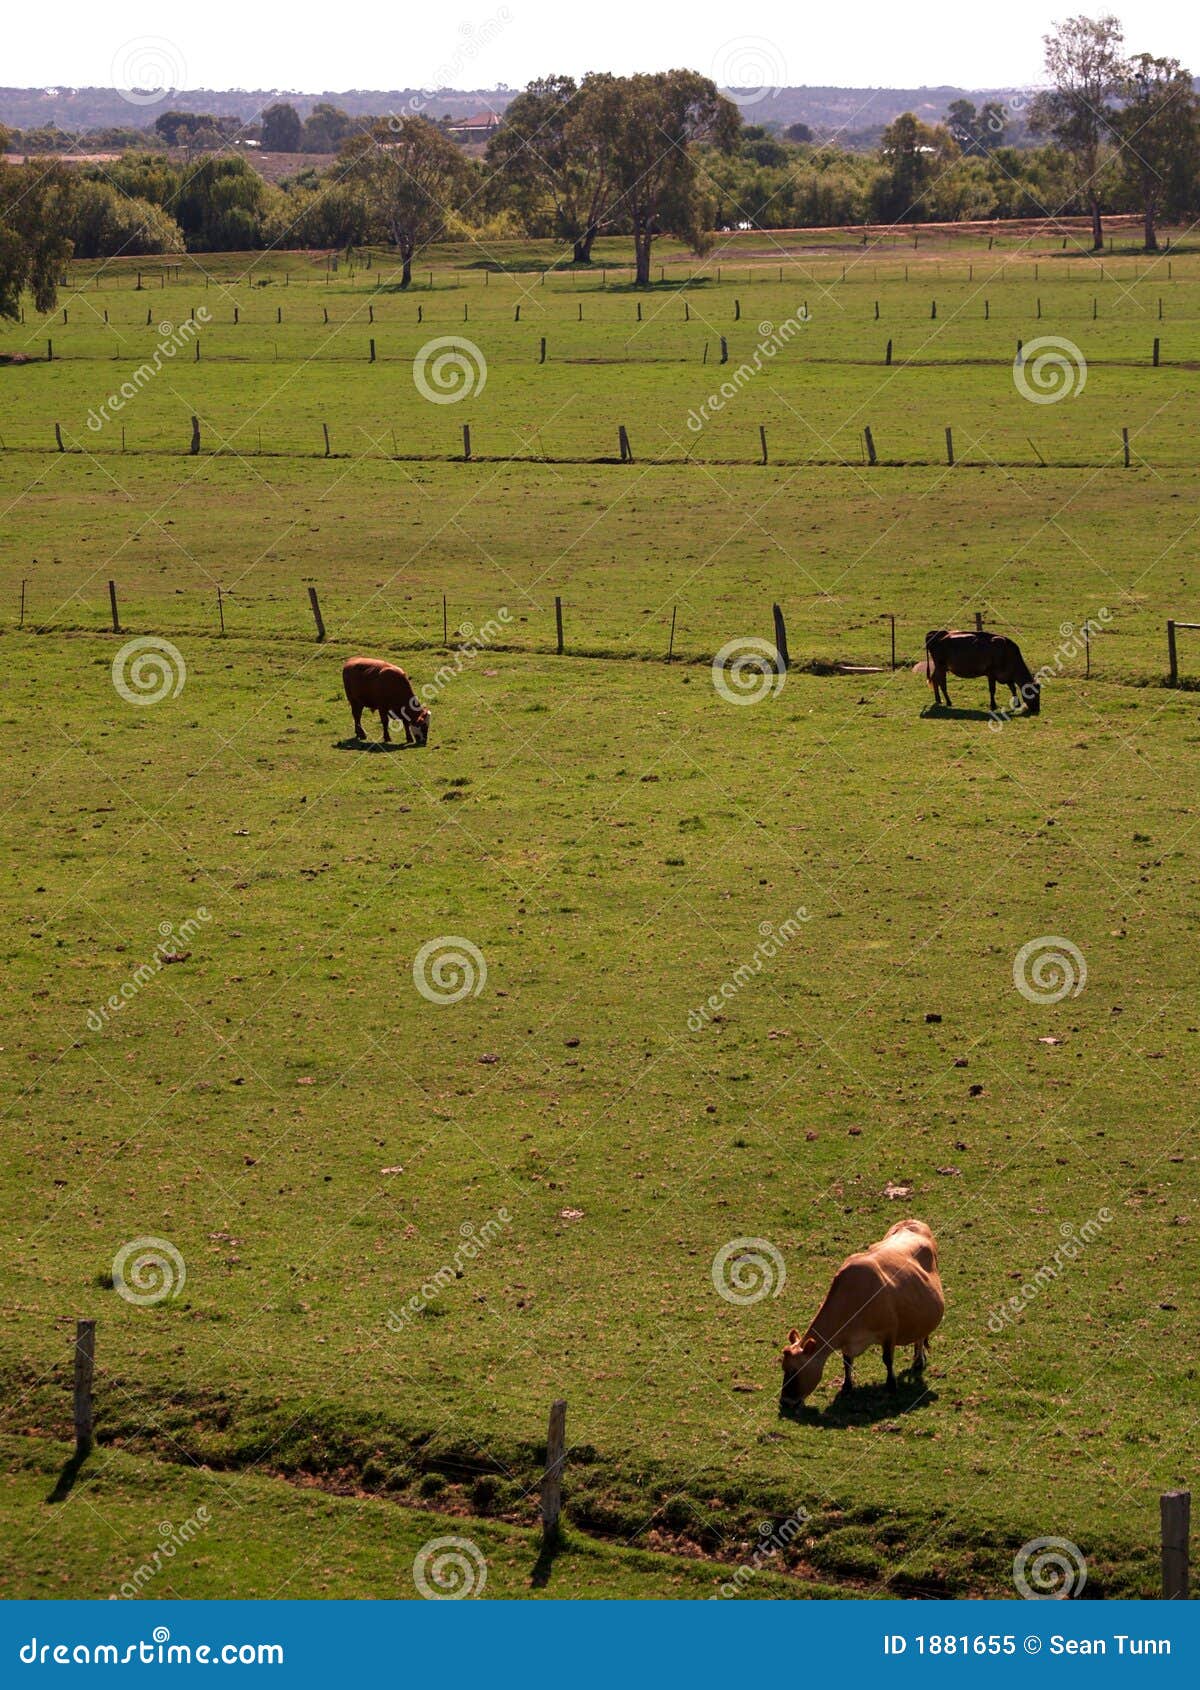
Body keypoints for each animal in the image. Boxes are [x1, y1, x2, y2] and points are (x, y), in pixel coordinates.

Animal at [779, 1219, 944, 1409]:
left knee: (920, 1336)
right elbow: (847, 1362)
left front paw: (891, 1385)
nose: (785, 1402)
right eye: (783, 1368)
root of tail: (911, 1221)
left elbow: (887, 1359)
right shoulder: (847, 1341)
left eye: (795, 1372)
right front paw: (847, 1386)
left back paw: (918, 1361)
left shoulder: (889, 1331)